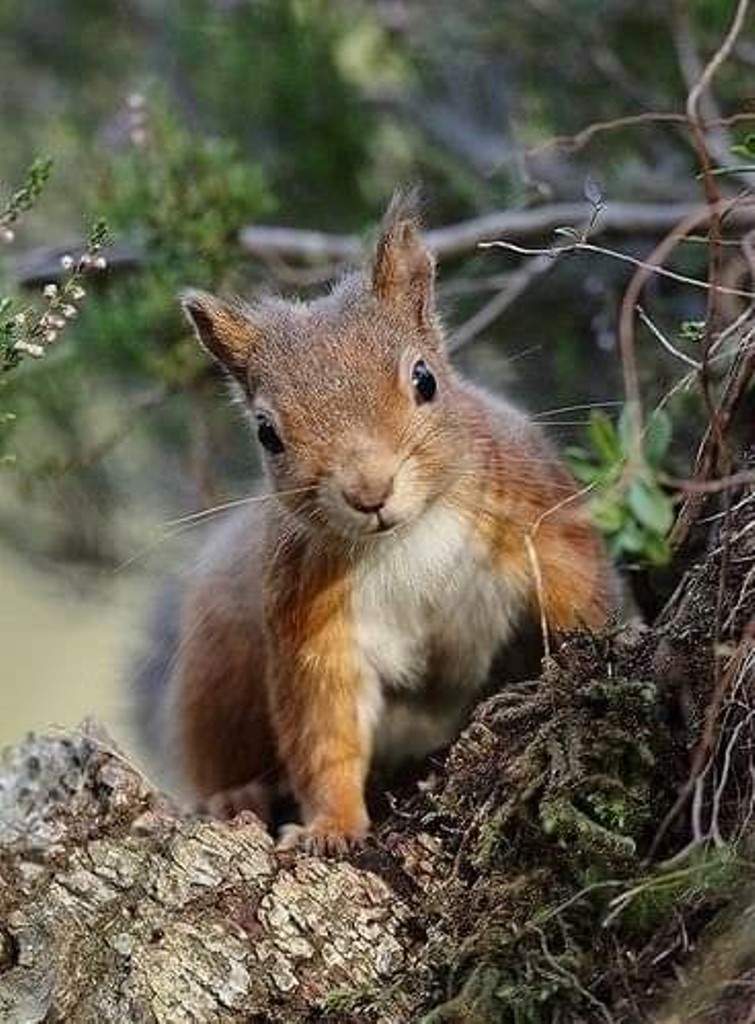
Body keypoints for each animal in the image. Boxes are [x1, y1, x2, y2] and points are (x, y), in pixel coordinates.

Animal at [133, 193, 618, 854]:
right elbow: (324, 730)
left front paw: (599, 659)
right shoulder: (313, 618)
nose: (370, 492)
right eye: (266, 433)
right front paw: (332, 827)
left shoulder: (538, 518)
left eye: (425, 379)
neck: (410, 538)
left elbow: (577, 594)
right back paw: (234, 797)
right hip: (217, 673)